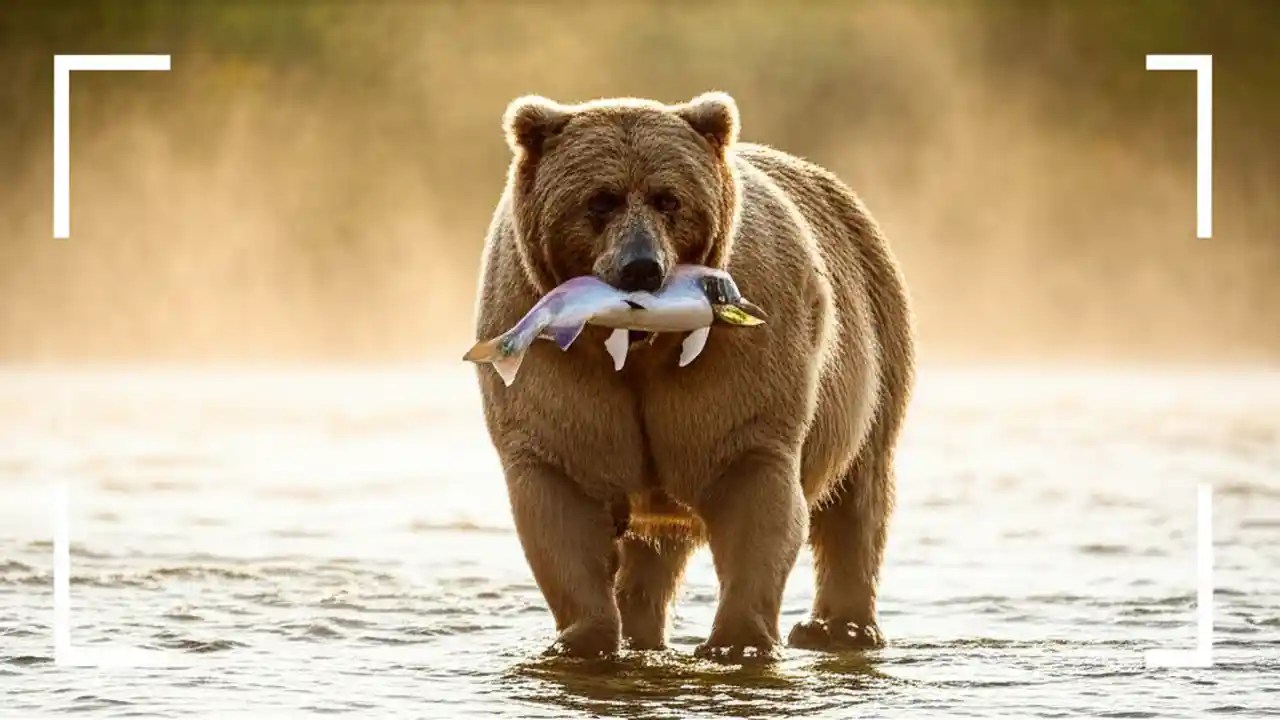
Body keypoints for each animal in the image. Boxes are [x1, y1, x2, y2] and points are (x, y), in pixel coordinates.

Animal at [471, 92, 914, 659]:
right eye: (600, 200)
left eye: (669, 200)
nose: (641, 266)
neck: (637, 346)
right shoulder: (552, 360)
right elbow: (564, 496)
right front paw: (583, 638)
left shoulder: (742, 360)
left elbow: (753, 489)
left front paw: (738, 642)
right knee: (655, 548)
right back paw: (641, 633)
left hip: (874, 344)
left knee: (857, 495)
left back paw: (838, 627)